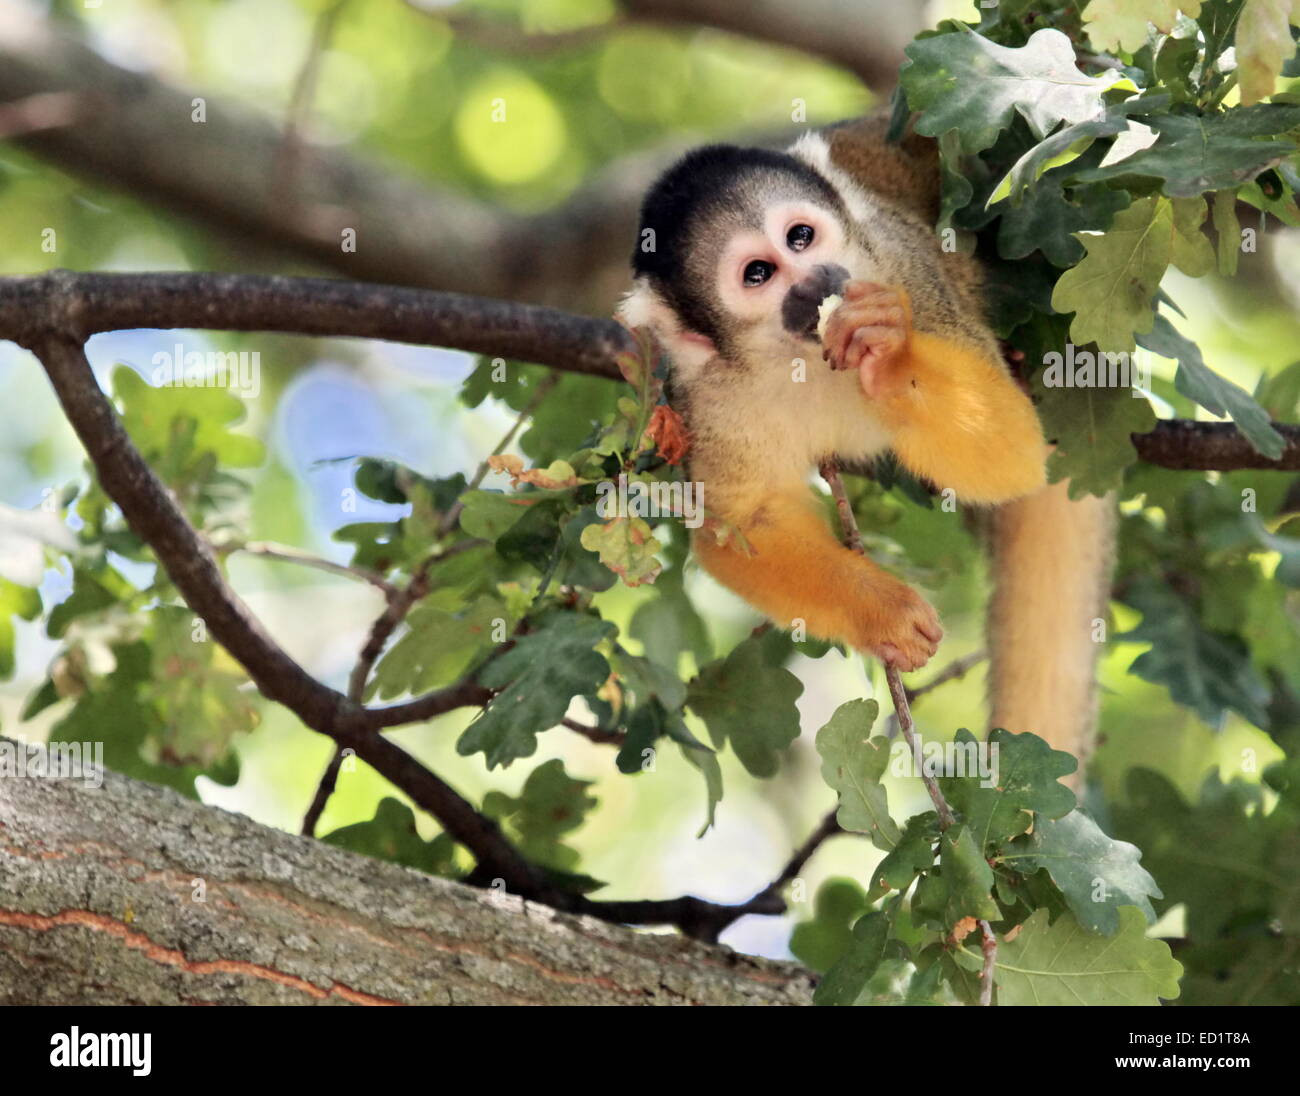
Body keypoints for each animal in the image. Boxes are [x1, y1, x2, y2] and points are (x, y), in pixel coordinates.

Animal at [619, 113, 1115, 764]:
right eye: (759, 274)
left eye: (801, 238)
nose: (817, 278)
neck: (806, 355)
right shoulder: (709, 396)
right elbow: (743, 525)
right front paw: (883, 610)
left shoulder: (901, 267)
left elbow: (1013, 453)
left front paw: (892, 354)